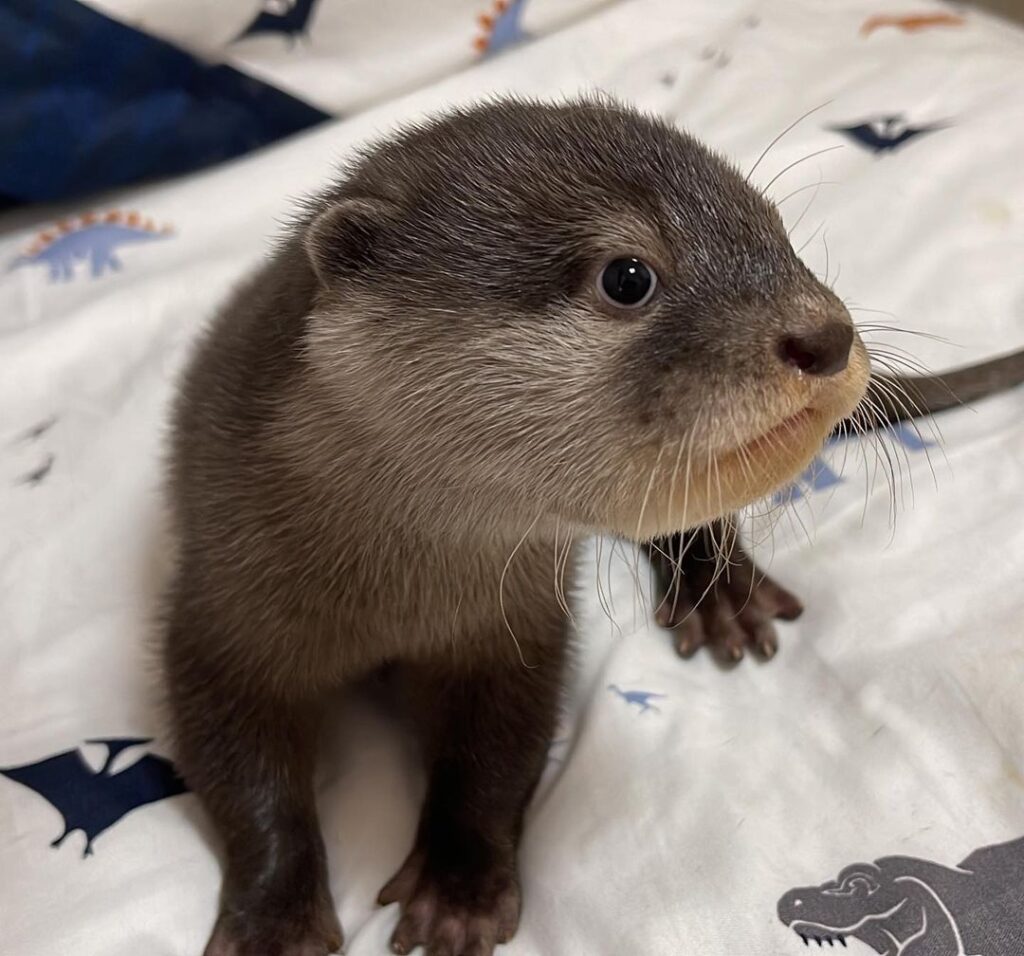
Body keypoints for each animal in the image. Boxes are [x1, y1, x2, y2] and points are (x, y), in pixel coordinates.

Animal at [163, 98, 1024, 956]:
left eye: (778, 235)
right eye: (628, 276)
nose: (827, 335)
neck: (396, 590)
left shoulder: (516, 625)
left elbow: (499, 752)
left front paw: (460, 889)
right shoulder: (221, 600)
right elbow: (240, 767)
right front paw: (275, 923)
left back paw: (720, 593)